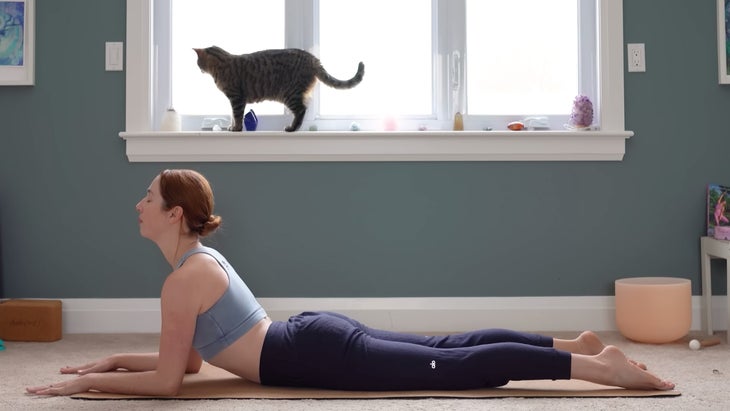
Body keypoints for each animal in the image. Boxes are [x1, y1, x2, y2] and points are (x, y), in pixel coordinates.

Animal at [193, 47, 364, 133]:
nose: (198, 67)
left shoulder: (236, 98)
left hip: (289, 94)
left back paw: (292, 128)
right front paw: (232, 126)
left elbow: (237, 115)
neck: (221, 64)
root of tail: (313, 59)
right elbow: (233, 115)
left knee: (301, 110)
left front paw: (236, 128)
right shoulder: (234, 99)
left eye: (198, 62)